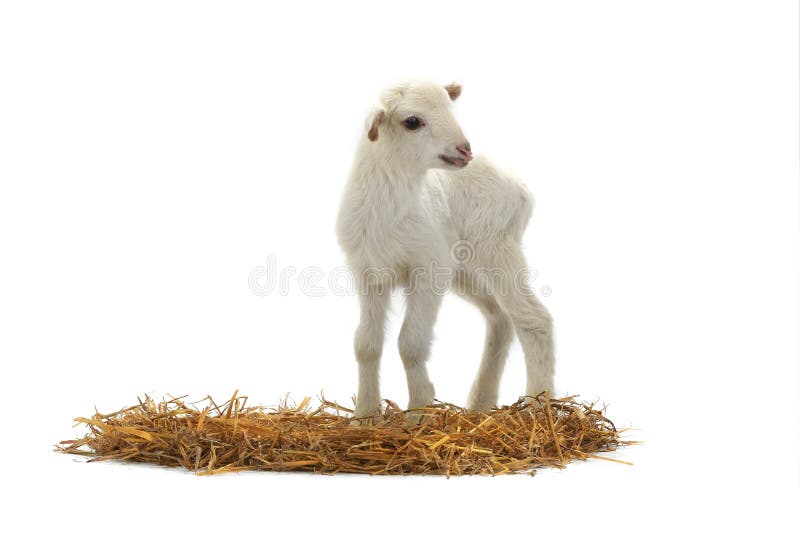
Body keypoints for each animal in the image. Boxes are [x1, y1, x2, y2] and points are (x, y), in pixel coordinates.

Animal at [336, 80, 554, 419]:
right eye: (412, 121)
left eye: (450, 109)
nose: (465, 149)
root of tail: (520, 187)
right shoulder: (369, 273)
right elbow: (366, 344)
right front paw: (364, 416)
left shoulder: (427, 271)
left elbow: (411, 344)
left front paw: (419, 412)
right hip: (463, 267)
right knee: (500, 318)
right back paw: (480, 404)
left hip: (496, 246)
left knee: (534, 318)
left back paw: (539, 408)